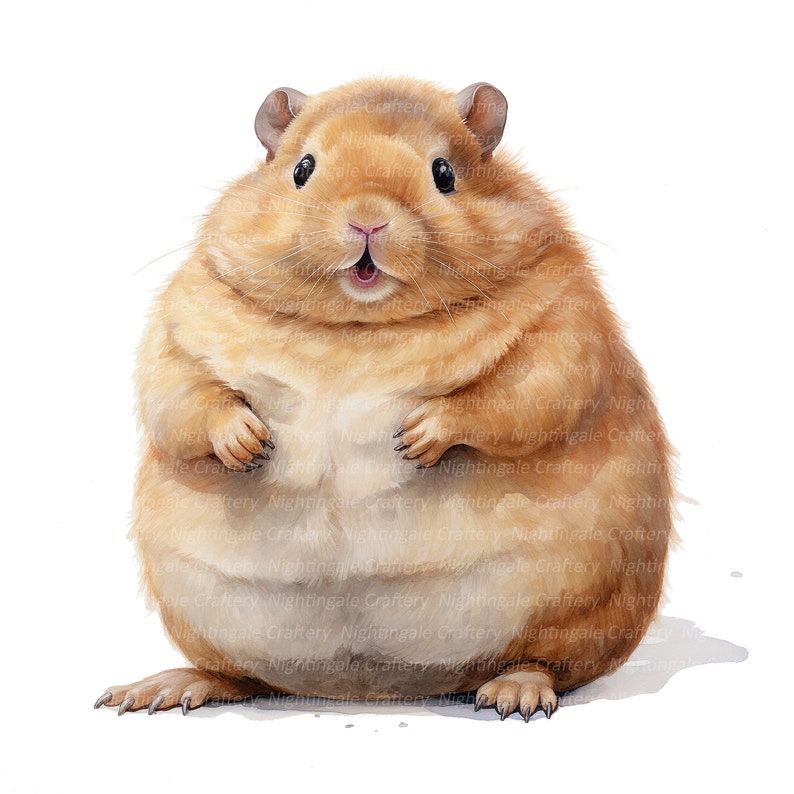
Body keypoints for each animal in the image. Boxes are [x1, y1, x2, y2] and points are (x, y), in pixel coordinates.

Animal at [95, 76, 674, 720]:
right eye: (302, 169)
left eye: (443, 173)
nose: (367, 222)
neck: (359, 323)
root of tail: (370, 688)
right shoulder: (181, 326)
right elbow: (184, 397)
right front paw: (252, 445)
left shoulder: (565, 330)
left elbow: (518, 398)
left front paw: (413, 439)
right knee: (240, 677)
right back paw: (156, 689)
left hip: (584, 614)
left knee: (553, 664)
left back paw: (513, 694)